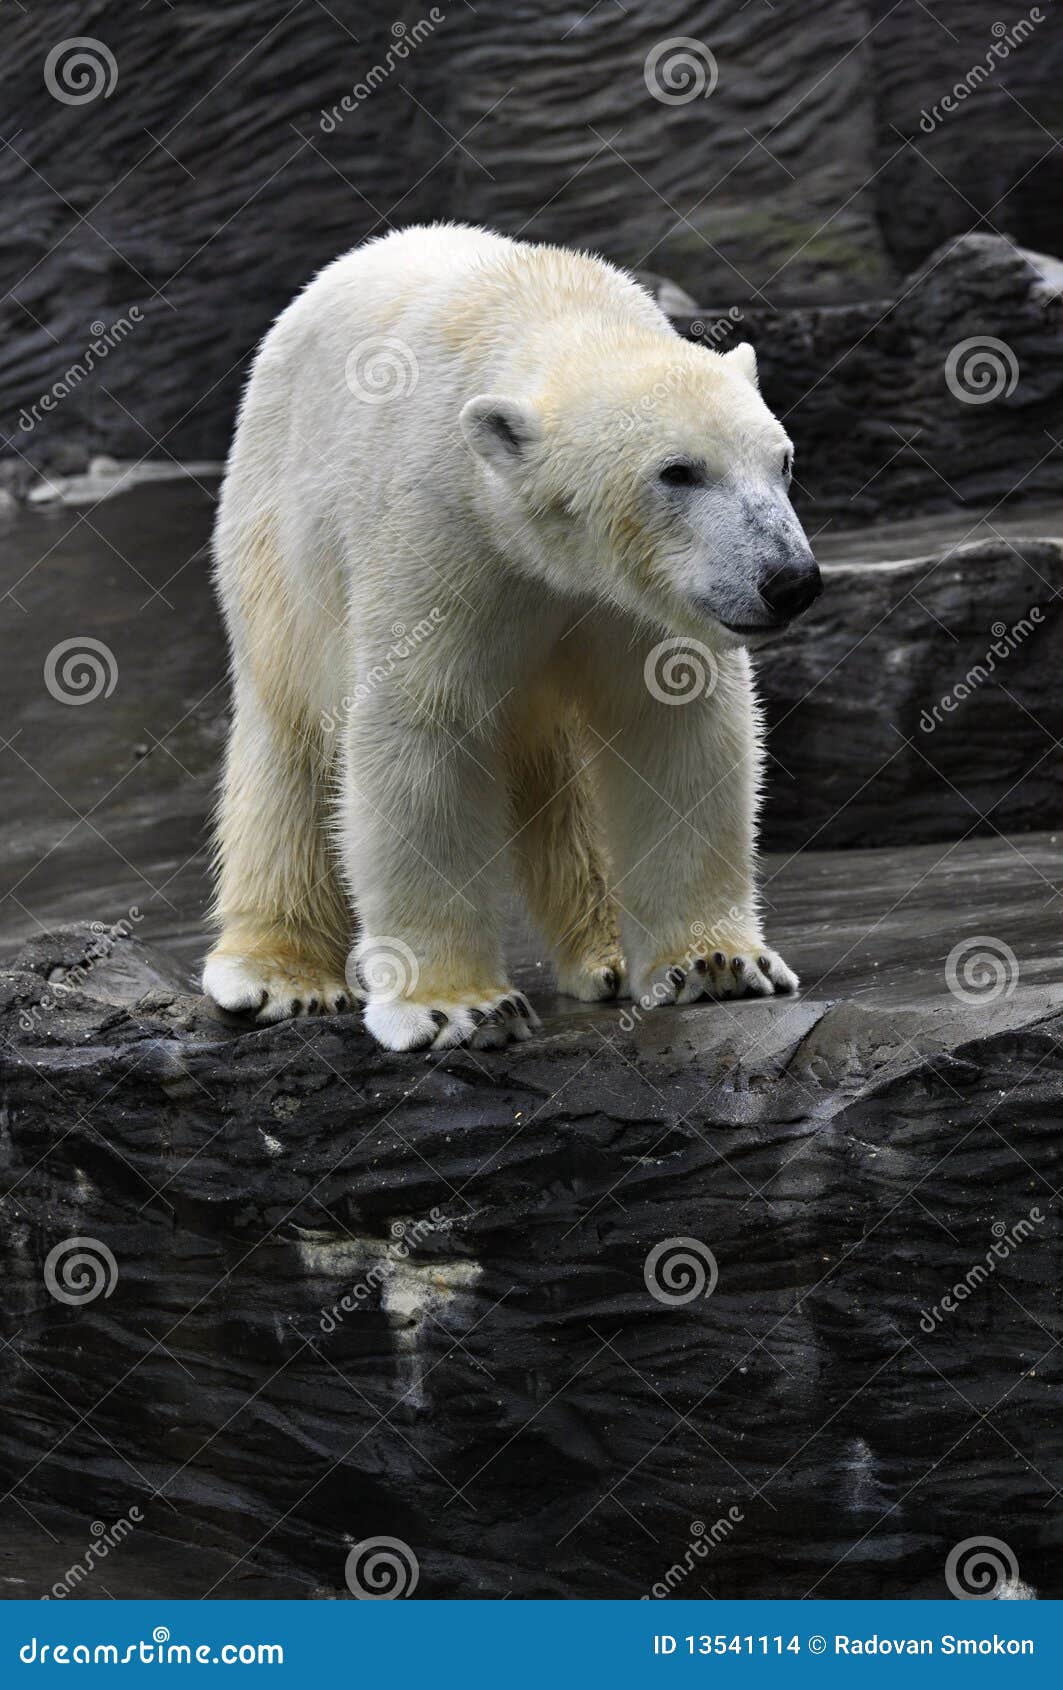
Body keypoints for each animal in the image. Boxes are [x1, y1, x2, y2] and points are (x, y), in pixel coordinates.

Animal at [202, 223, 821, 1052]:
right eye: (678, 471)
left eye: (780, 460)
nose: (787, 578)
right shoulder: (439, 534)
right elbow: (420, 736)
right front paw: (457, 1008)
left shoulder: (625, 605)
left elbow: (672, 728)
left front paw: (717, 963)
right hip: (277, 544)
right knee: (290, 746)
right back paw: (279, 975)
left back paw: (606, 954)